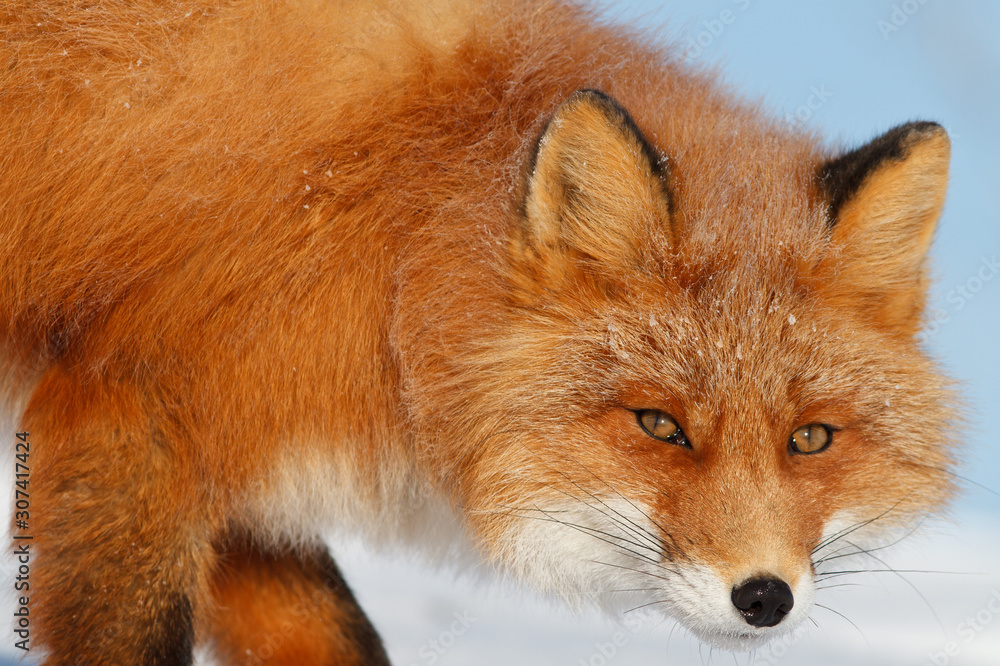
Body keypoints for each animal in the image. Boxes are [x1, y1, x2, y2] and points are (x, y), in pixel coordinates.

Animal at [0, 0, 958, 663]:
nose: (765, 598)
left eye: (812, 438)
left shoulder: (246, 482)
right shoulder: (128, 416)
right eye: (660, 426)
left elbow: (339, 637)